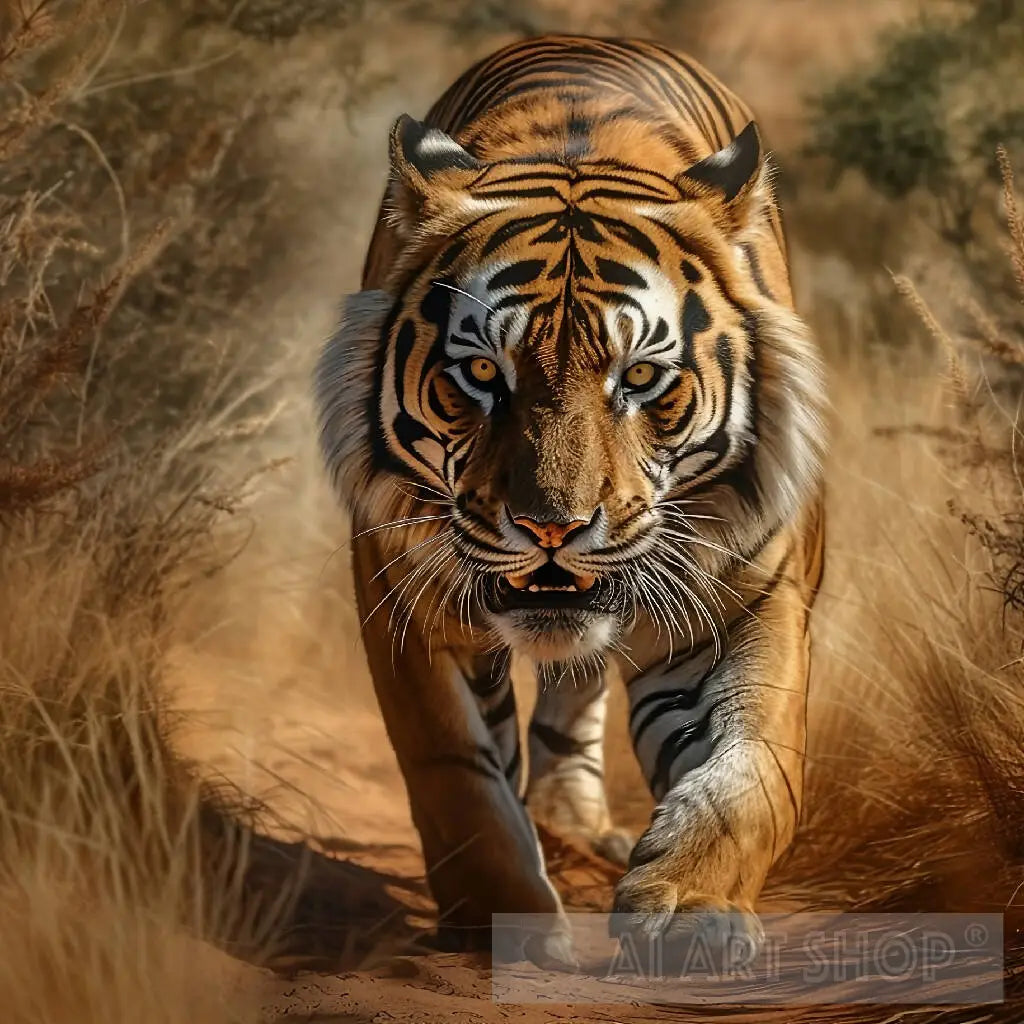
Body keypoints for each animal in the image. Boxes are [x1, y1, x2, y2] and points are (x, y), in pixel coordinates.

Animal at [315, 34, 826, 966]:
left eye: (640, 377)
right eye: (483, 372)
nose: (551, 526)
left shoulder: (751, 596)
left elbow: (752, 768)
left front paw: (691, 908)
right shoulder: (403, 595)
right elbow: (456, 781)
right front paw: (502, 926)